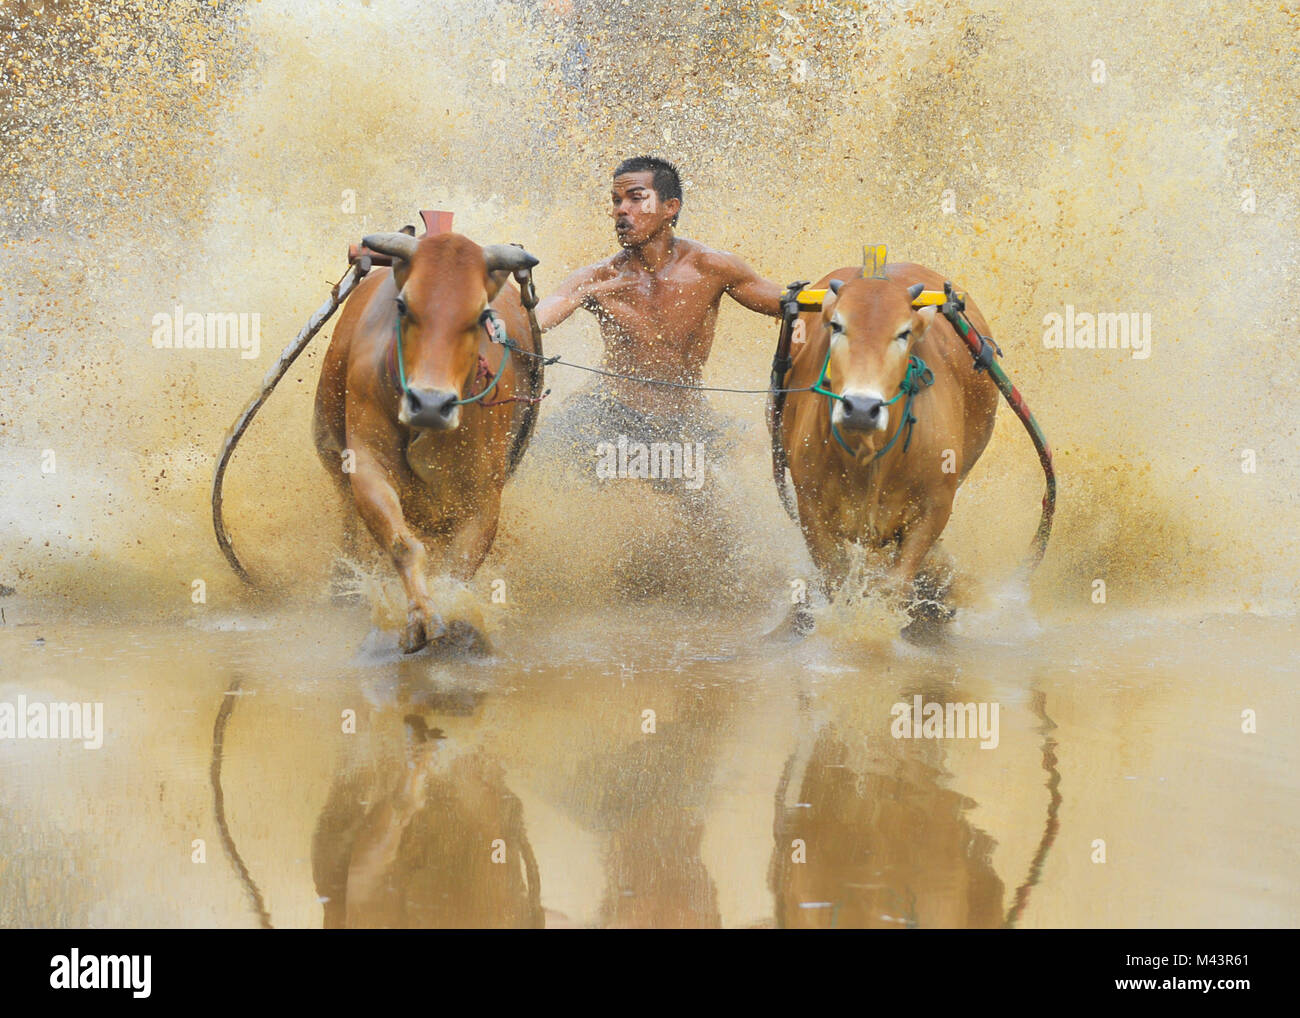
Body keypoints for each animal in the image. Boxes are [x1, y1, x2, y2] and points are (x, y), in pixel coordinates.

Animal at [313, 231, 542, 654]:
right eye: (404, 305)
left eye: (481, 315)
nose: (431, 404)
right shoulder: (366, 464)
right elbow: (404, 545)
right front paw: (419, 617)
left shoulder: (484, 498)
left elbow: (457, 569)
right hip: (329, 445)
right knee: (348, 518)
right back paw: (343, 586)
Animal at [773, 263, 999, 636]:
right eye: (837, 325)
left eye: (904, 333)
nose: (861, 408)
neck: (868, 458)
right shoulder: (810, 509)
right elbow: (838, 583)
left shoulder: (935, 507)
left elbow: (895, 585)